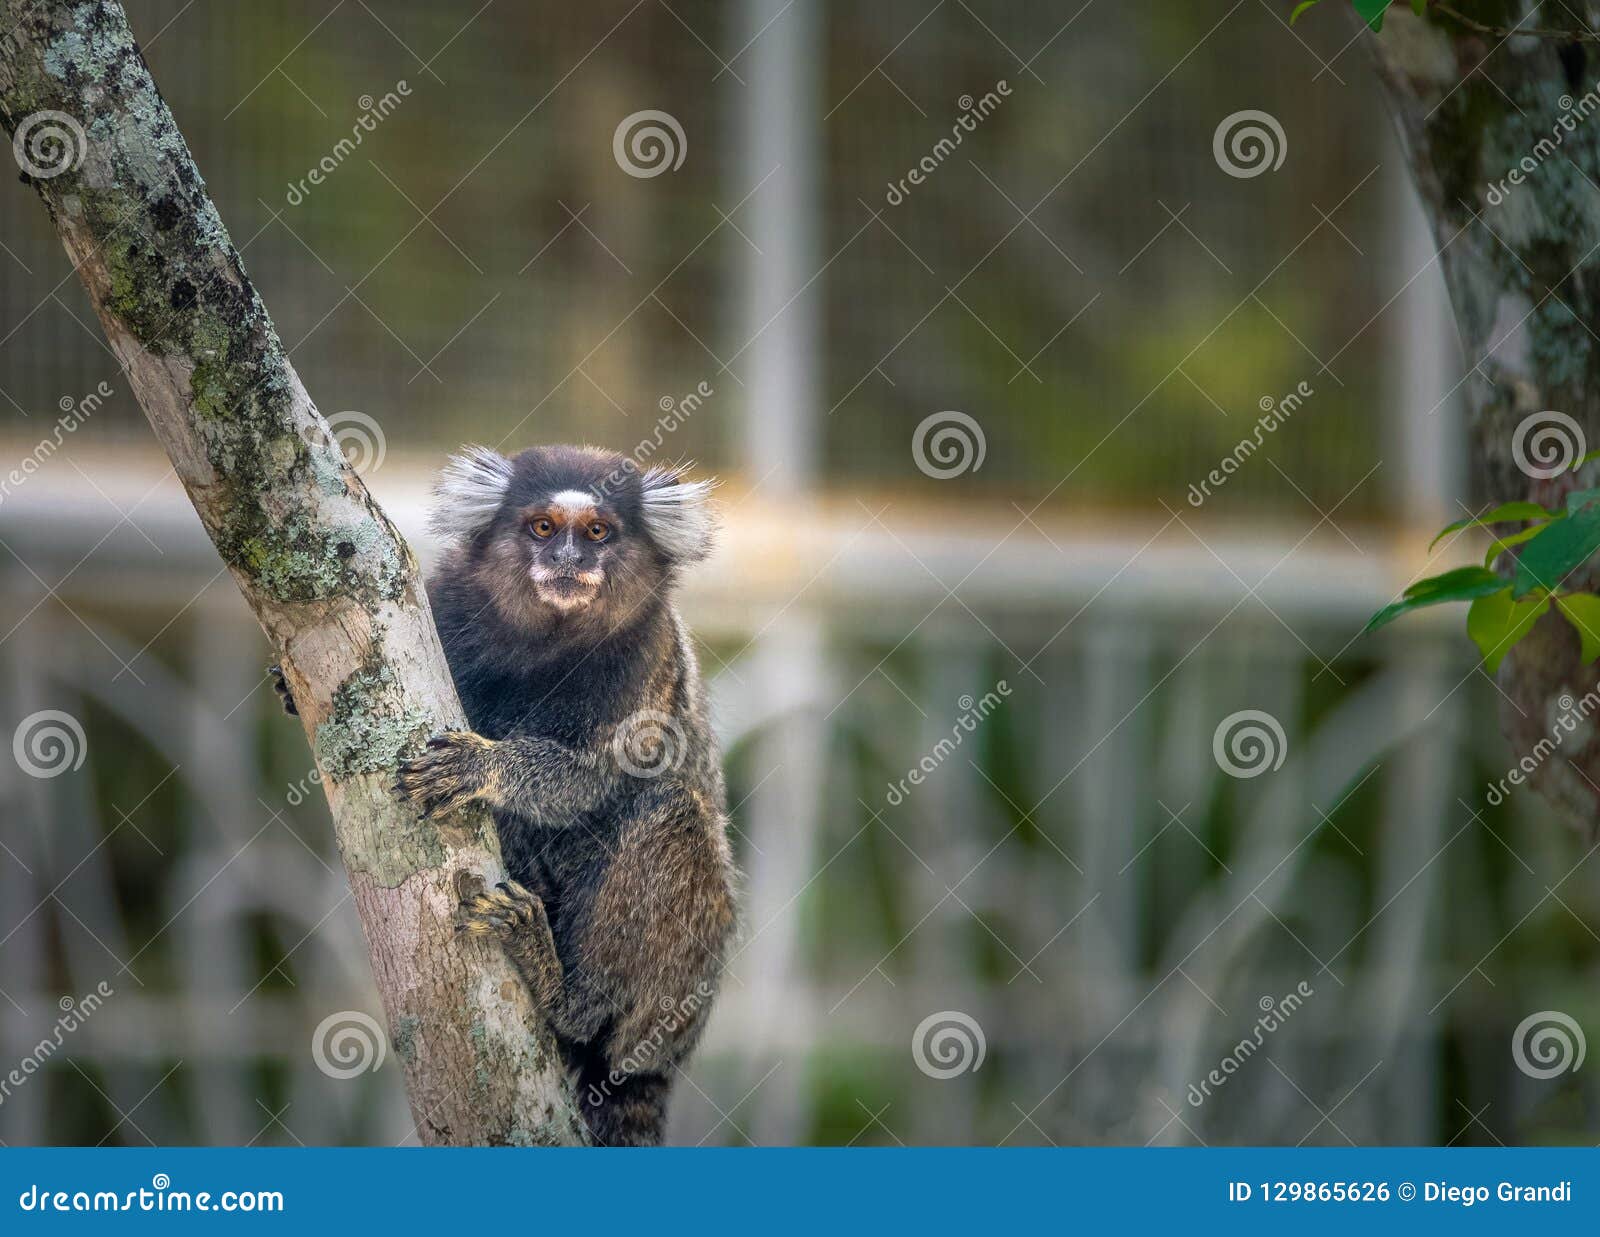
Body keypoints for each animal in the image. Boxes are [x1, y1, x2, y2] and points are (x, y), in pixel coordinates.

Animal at [273, 444, 737, 1146]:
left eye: (597, 532)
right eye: (543, 528)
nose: (569, 560)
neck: (548, 644)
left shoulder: (643, 655)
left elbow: (587, 777)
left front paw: (483, 766)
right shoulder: (445, 606)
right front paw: (284, 686)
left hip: (677, 992)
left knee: (672, 812)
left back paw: (564, 996)